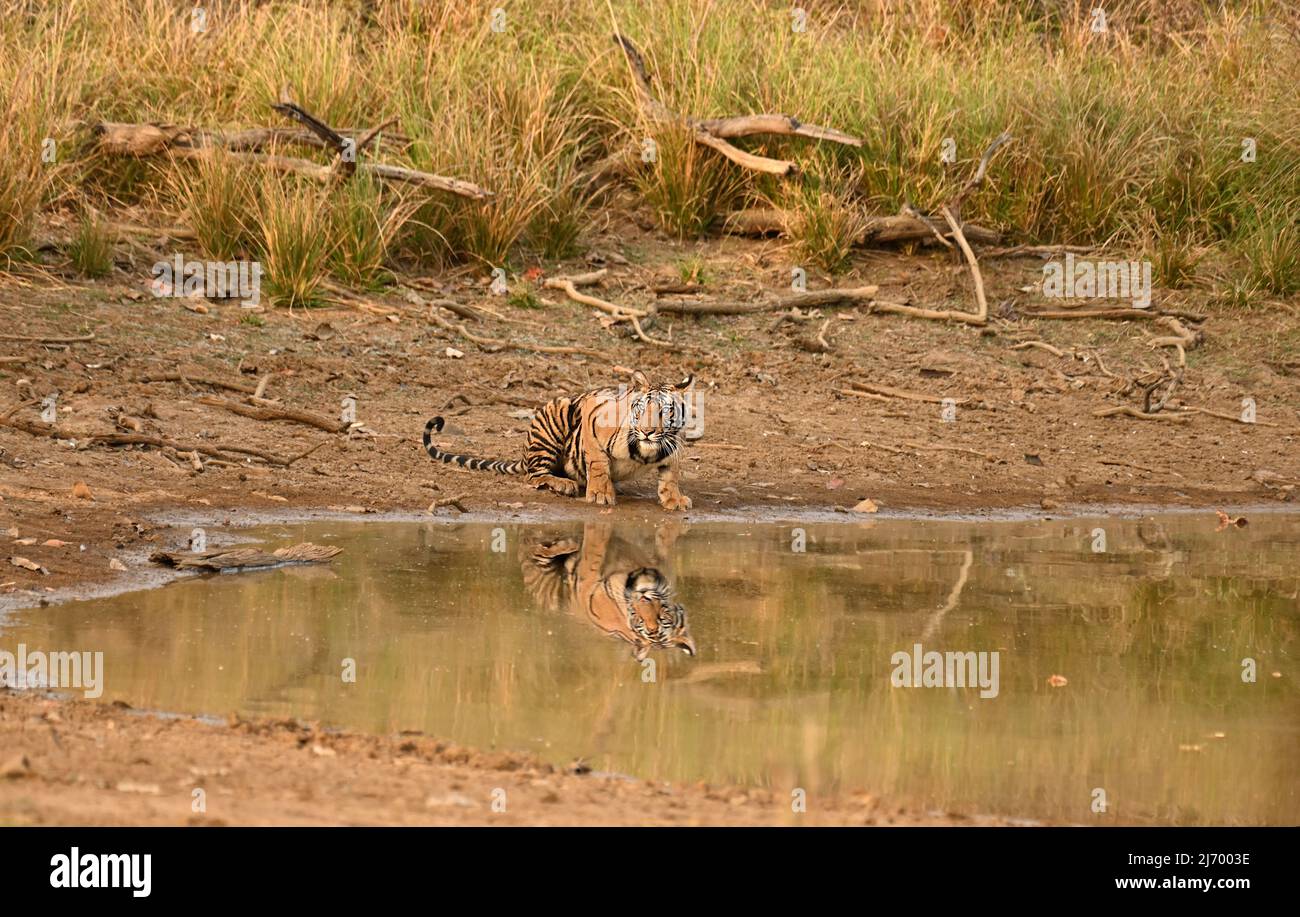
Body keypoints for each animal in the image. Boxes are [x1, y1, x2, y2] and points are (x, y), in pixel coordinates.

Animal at [423, 370, 693, 511]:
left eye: (665, 411)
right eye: (642, 410)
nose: (647, 432)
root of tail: (524, 453)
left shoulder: (674, 447)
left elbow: (670, 475)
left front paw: (674, 499)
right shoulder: (593, 415)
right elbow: (597, 463)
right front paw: (600, 494)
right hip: (557, 414)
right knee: (534, 475)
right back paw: (563, 484)